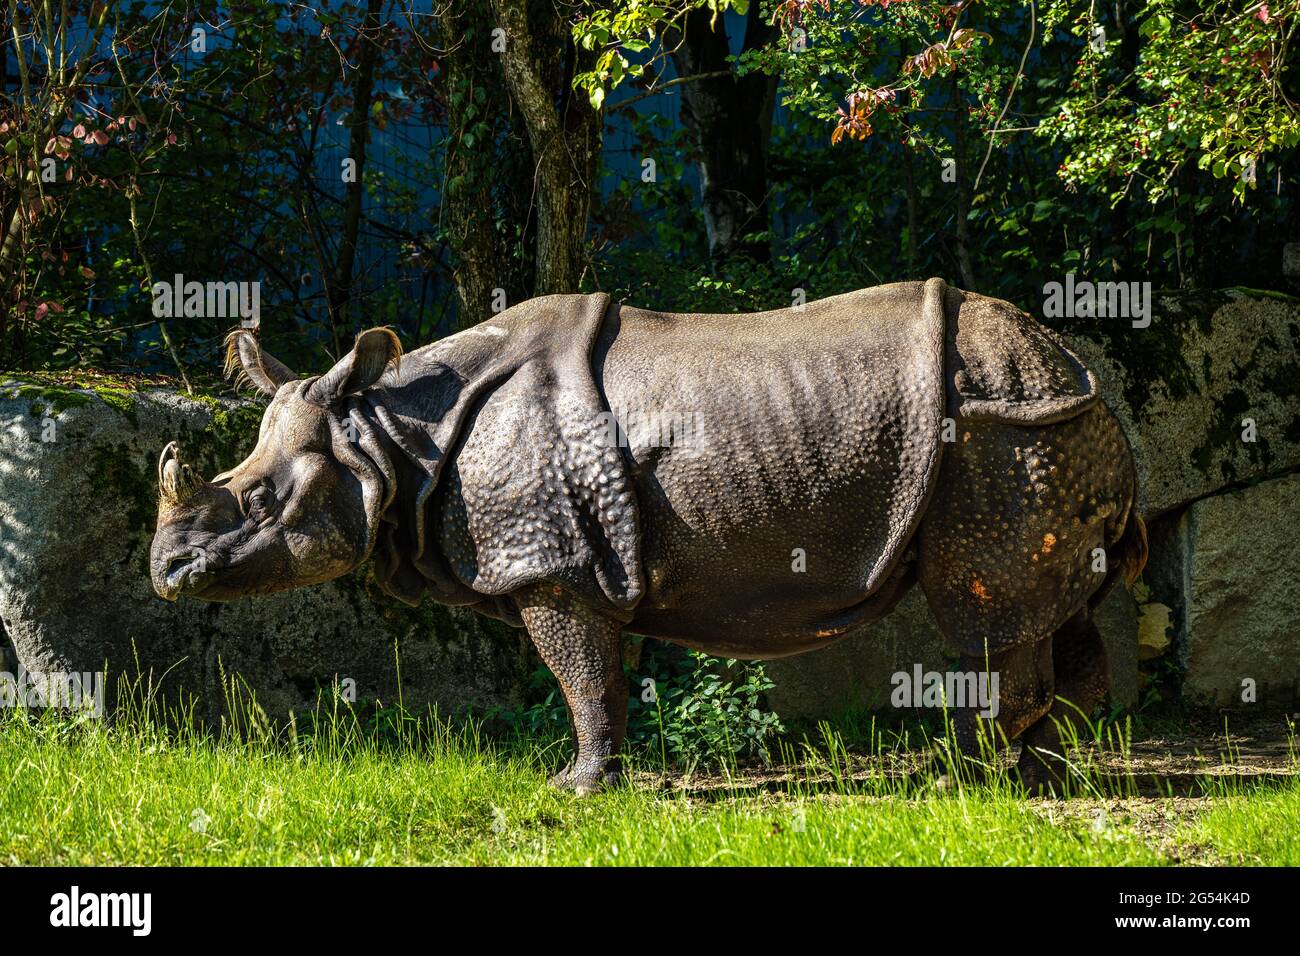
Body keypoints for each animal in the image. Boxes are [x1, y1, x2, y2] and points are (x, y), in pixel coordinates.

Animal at [151, 279, 1145, 794]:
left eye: (258, 499)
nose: (165, 571)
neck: (392, 437)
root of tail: (1075, 369)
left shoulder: (549, 566)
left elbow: (579, 679)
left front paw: (573, 791)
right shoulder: (584, 561)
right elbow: (602, 680)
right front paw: (605, 781)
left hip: (999, 432)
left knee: (986, 611)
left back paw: (969, 781)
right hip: (1043, 429)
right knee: (1059, 609)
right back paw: (1051, 777)